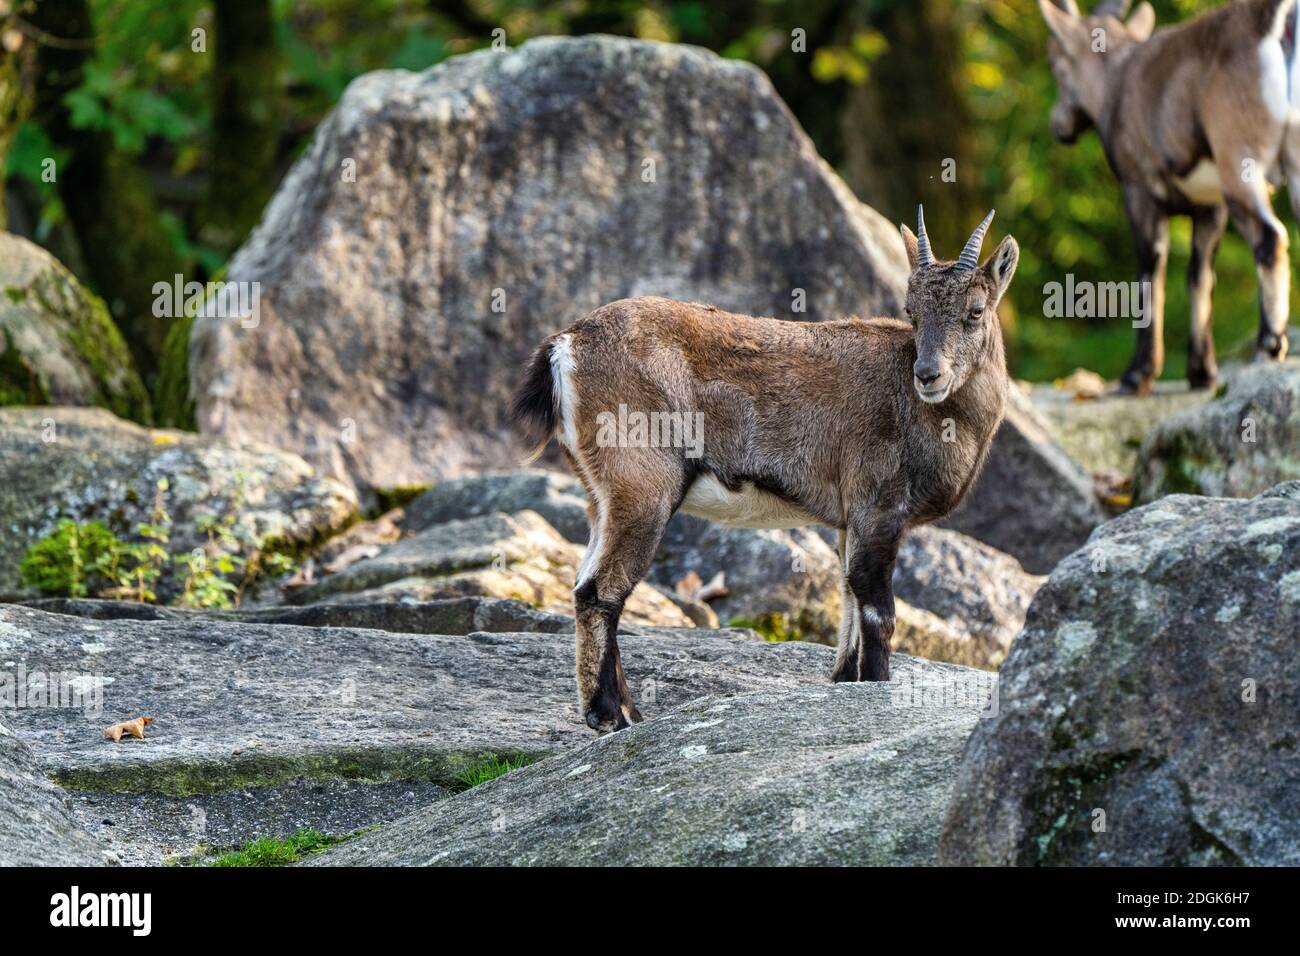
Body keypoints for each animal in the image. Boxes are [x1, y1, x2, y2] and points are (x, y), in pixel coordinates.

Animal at [513, 209, 1019, 732]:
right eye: (911, 312)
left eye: (974, 311)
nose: (928, 374)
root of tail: (566, 346)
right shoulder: (878, 507)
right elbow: (877, 608)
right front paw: (876, 687)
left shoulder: (849, 519)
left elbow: (847, 595)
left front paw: (844, 682)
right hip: (642, 488)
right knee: (600, 591)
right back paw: (609, 716)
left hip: (601, 495)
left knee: (583, 581)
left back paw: (630, 710)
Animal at [1040, 0, 1296, 395]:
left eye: (1056, 62)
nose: (1059, 126)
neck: (1118, 81)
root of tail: (1278, 24)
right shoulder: (1210, 207)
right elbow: (1200, 276)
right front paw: (1201, 373)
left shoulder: (1139, 191)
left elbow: (1151, 267)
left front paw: (1136, 375)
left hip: (1239, 158)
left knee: (1270, 237)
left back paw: (1268, 345)